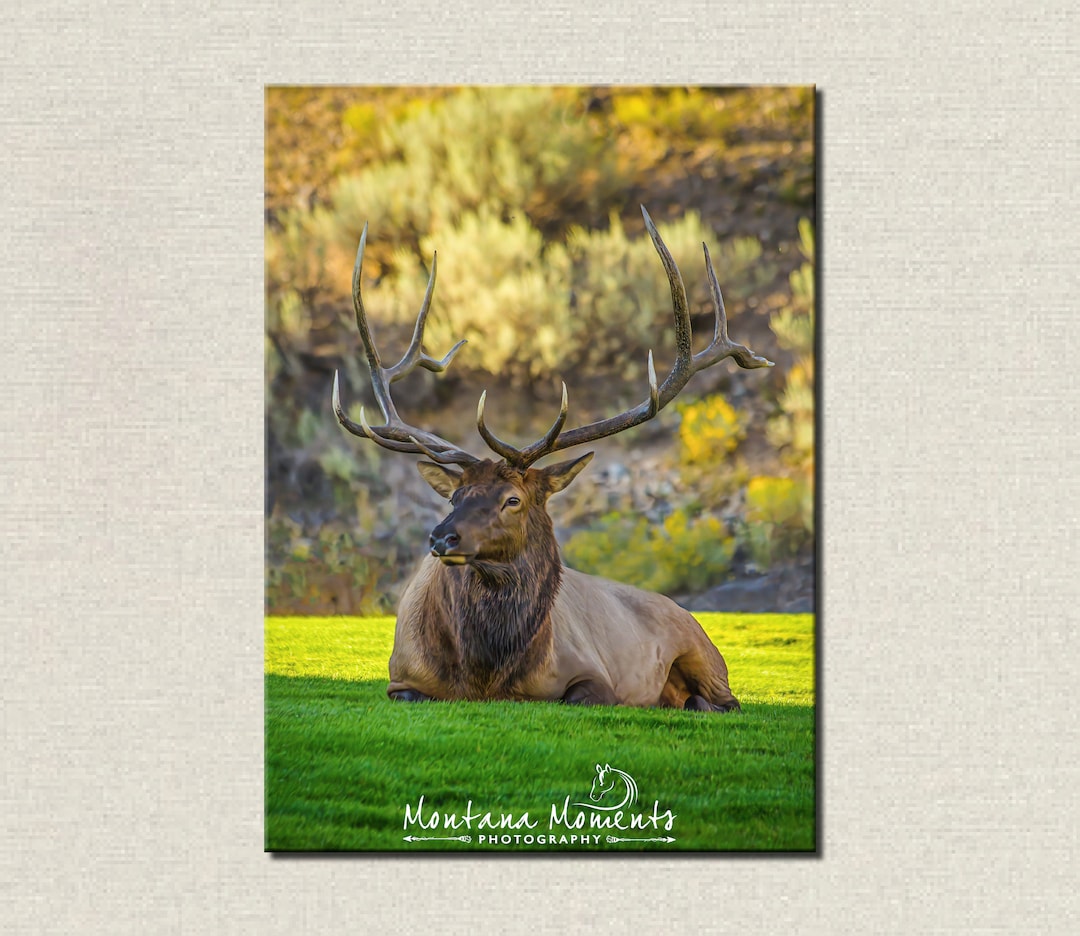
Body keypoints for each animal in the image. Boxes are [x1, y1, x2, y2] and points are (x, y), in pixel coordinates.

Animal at [331, 206, 773, 712]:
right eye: (454, 497)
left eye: (513, 500)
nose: (442, 538)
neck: (484, 678)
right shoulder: (401, 680)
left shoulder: (593, 674)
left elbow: (584, 696)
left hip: (706, 654)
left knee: (718, 700)